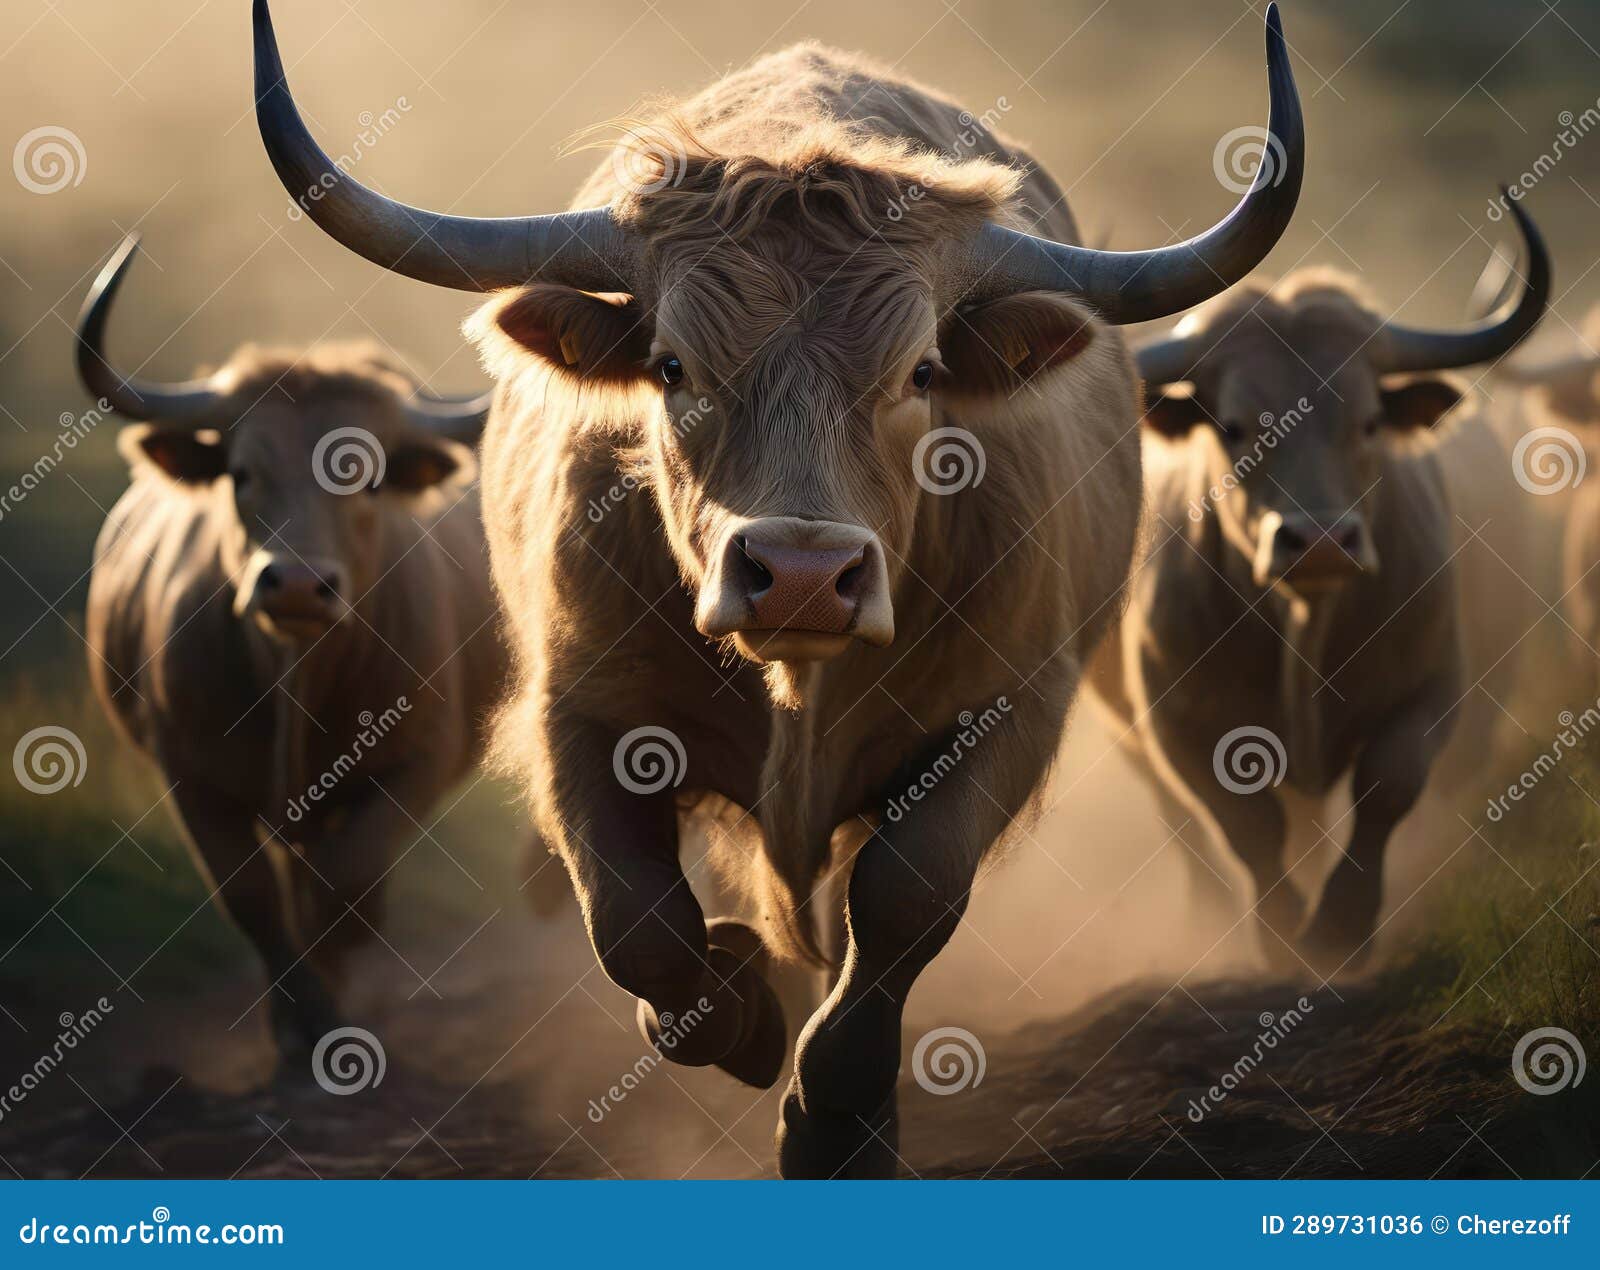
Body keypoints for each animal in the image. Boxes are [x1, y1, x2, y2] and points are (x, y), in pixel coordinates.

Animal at [79, 233, 509, 1061]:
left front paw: (331, 1012)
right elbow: (252, 899)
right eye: (242, 473)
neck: (300, 685)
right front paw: (296, 1025)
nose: (299, 587)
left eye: (368, 479)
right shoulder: (192, 778)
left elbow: (346, 887)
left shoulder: (418, 764)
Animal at [252, 0, 1305, 1175]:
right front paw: (744, 1018)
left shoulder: (1007, 711)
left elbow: (904, 897)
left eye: (921, 372)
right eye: (672, 367)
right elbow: (638, 923)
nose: (801, 576)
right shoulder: (578, 709)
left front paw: (835, 1114)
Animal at [1085, 199, 1550, 978]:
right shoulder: (1177, 722)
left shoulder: (1434, 687)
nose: (1323, 541)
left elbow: (1389, 784)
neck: (1305, 623)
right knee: (1192, 827)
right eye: (1233, 427)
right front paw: (1280, 934)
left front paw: (1340, 927)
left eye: (1370, 421)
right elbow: (1244, 823)